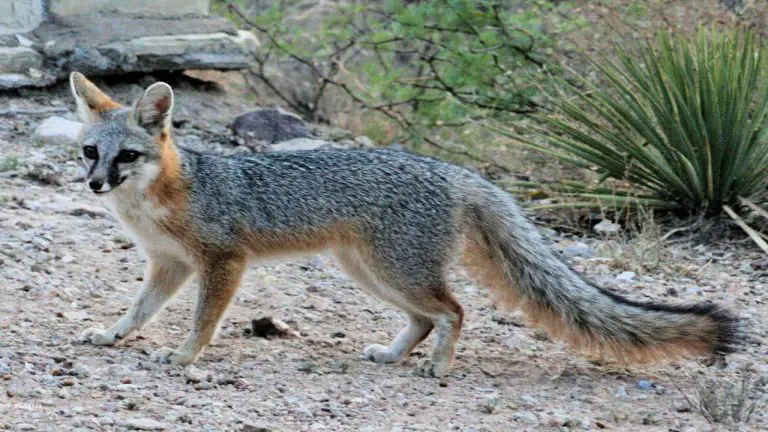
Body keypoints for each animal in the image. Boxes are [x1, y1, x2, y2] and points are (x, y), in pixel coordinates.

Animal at [69, 72, 738, 378]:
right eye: (90, 152)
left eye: (127, 156)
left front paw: (184, 356)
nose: (95, 184)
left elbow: (202, 320)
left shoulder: (222, 262)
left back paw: (439, 366)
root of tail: (457, 171)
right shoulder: (169, 265)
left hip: (396, 271)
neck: (163, 199)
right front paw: (113, 335)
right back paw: (393, 354)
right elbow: (138, 310)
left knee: (455, 311)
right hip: (369, 271)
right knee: (425, 318)